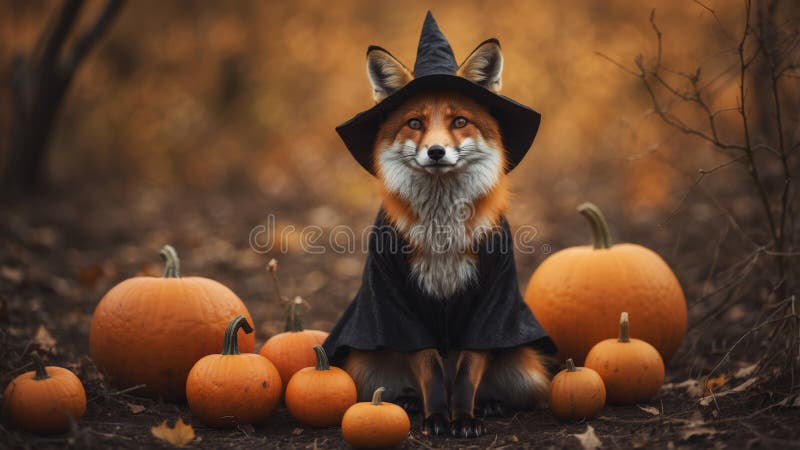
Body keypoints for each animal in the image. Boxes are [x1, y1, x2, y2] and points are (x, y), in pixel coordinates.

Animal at [336, 39, 553, 438]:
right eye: (415, 123)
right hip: (362, 369)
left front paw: (464, 418)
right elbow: (431, 372)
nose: (436, 151)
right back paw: (408, 401)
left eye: (459, 122)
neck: (442, 234)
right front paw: (437, 417)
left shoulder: (491, 300)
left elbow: (468, 371)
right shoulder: (397, 302)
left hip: (527, 373)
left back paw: (488, 404)